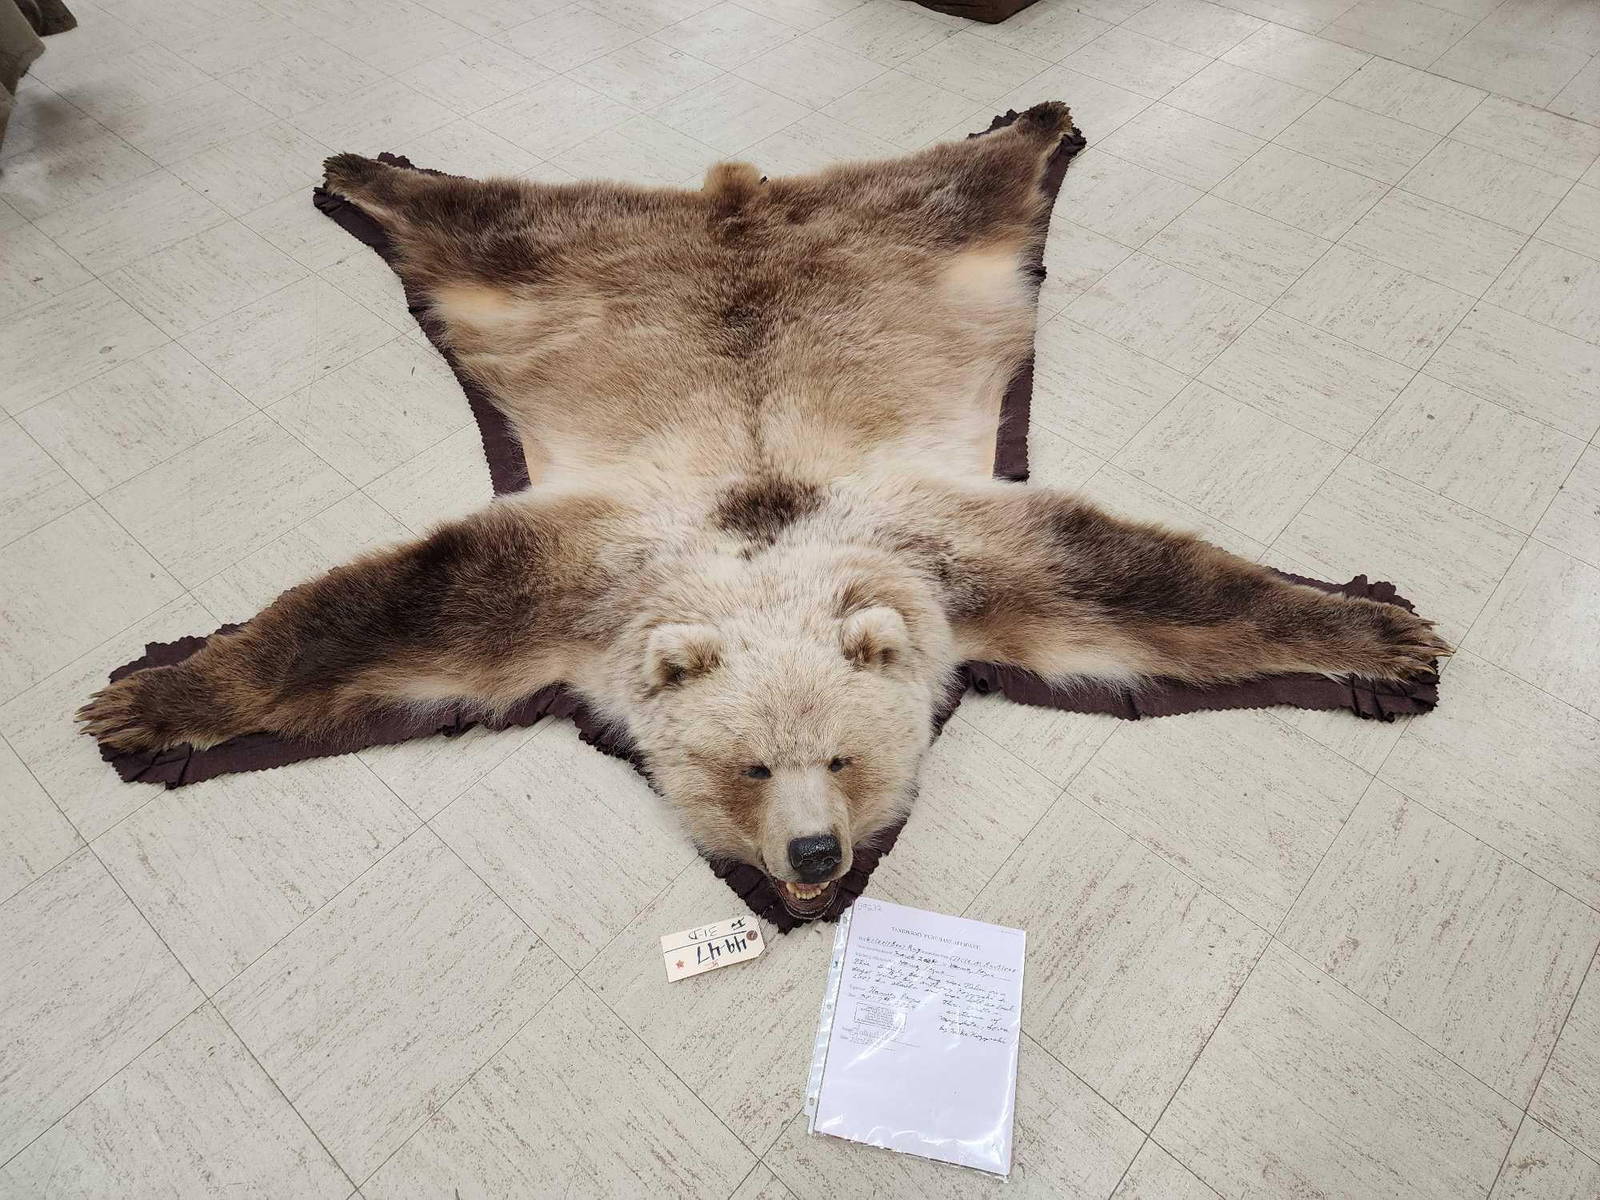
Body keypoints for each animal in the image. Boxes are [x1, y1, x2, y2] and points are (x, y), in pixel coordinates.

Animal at [79, 102, 1447, 920]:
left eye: (841, 758)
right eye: (747, 769)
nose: (813, 864)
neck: (761, 551)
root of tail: (735, 199)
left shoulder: (953, 554)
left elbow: (1135, 581)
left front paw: (1379, 630)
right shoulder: (572, 580)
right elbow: (386, 607)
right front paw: (148, 698)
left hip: (916, 249)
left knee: (961, 191)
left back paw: (1029, 120)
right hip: (558, 274)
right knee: (489, 225)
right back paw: (370, 169)